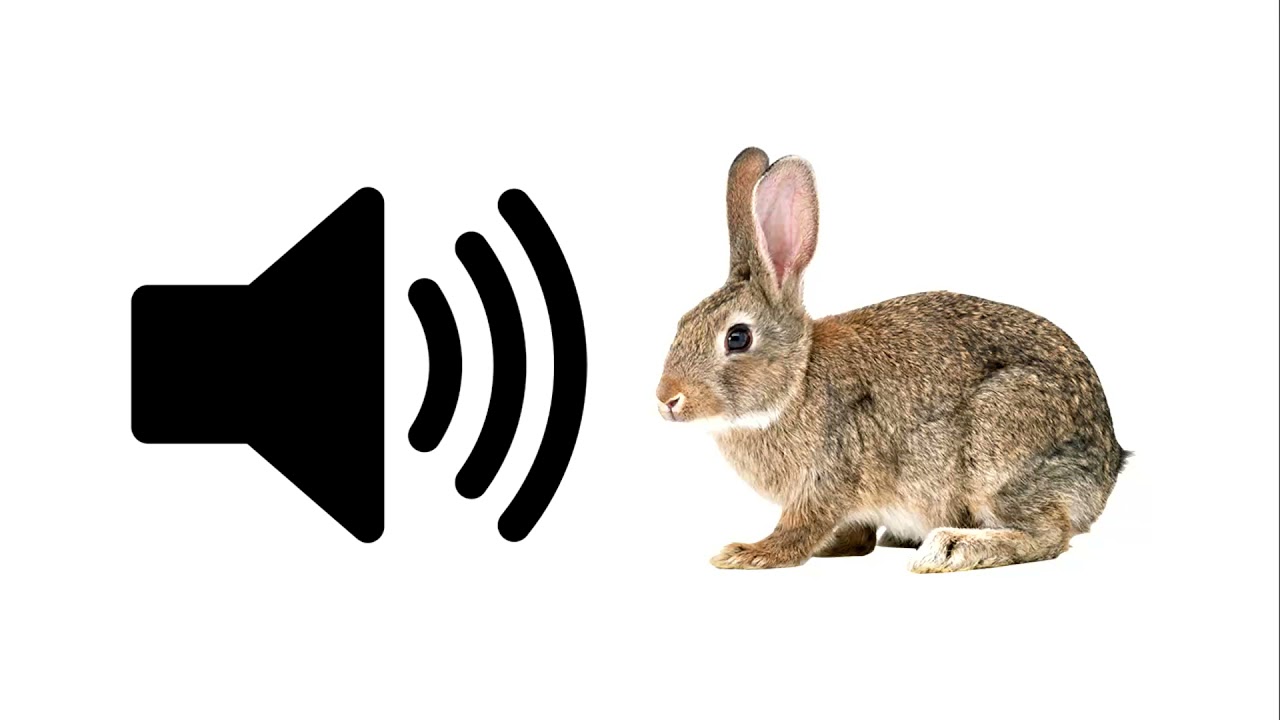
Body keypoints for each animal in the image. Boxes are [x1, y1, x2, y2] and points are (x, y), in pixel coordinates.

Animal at [655, 147, 1128, 573]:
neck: (797, 381)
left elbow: (801, 528)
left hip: (1000, 447)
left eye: (737, 338)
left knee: (1046, 536)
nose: (666, 400)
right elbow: (852, 535)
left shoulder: (828, 476)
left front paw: (748, 553)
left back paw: (950, 548)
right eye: (682, 322)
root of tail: (1108, 464)